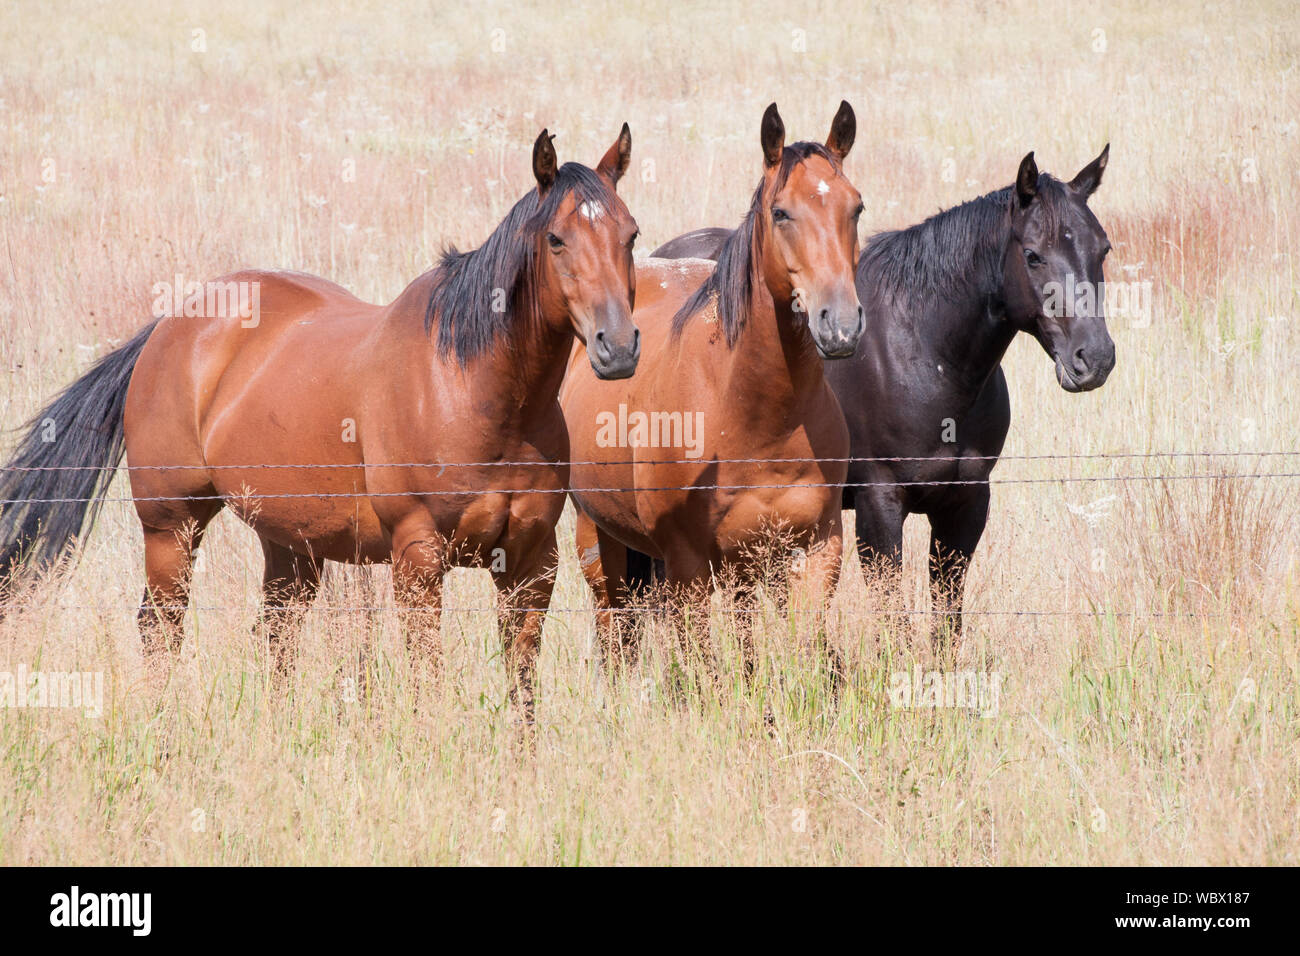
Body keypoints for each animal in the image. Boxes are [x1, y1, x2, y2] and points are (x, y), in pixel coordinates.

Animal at [0, 125, 642, 720]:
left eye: (631, 234)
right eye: (556, 239)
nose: (617, 348)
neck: (475, 391)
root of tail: (169, 327)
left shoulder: (531, 562)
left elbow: (522, 682)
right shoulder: (418, 558)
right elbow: (427, 680)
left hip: (288, 541)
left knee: (276, 632)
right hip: (171, 527)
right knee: (161, 626)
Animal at [561, 101, 865, 679]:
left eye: (856, 208)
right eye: (781, 213)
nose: (840, 325)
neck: (754, 413)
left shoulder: (819, 546)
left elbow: (803, 648)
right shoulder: (687, 562)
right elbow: (706, 669)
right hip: (598, 536)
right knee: (616, 630)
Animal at [651, 146, 1116, 639]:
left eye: (1102, 248)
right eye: (1032, 255)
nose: (1094, 358)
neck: (924, 354)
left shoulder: (966, 504)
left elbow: (947, 621)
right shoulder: (879, 505)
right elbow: (893, 617)